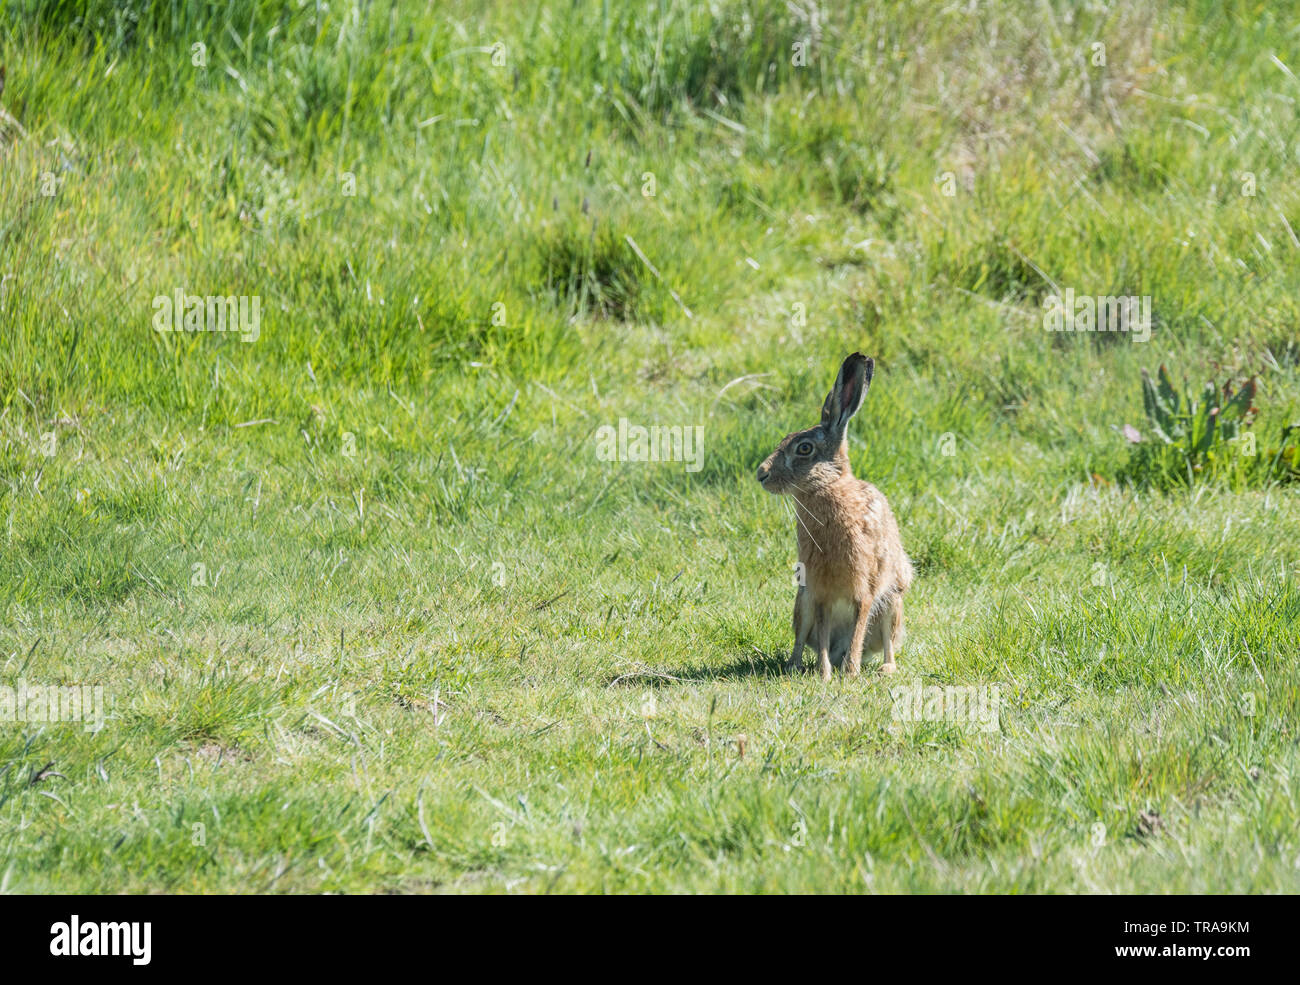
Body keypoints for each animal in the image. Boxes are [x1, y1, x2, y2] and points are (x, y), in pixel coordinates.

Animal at [756, 353, 914, 681]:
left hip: (892, 602)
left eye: (804, 448)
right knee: (805, 638)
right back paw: (796, 666)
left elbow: (859, 625)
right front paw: (826, 673)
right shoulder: (819, 592)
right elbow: (824, 629)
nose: (761, 474)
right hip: (802, 600)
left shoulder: (865, 587)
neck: (828, 488)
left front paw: (850, 672)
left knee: (886, 641)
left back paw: (883, 668)